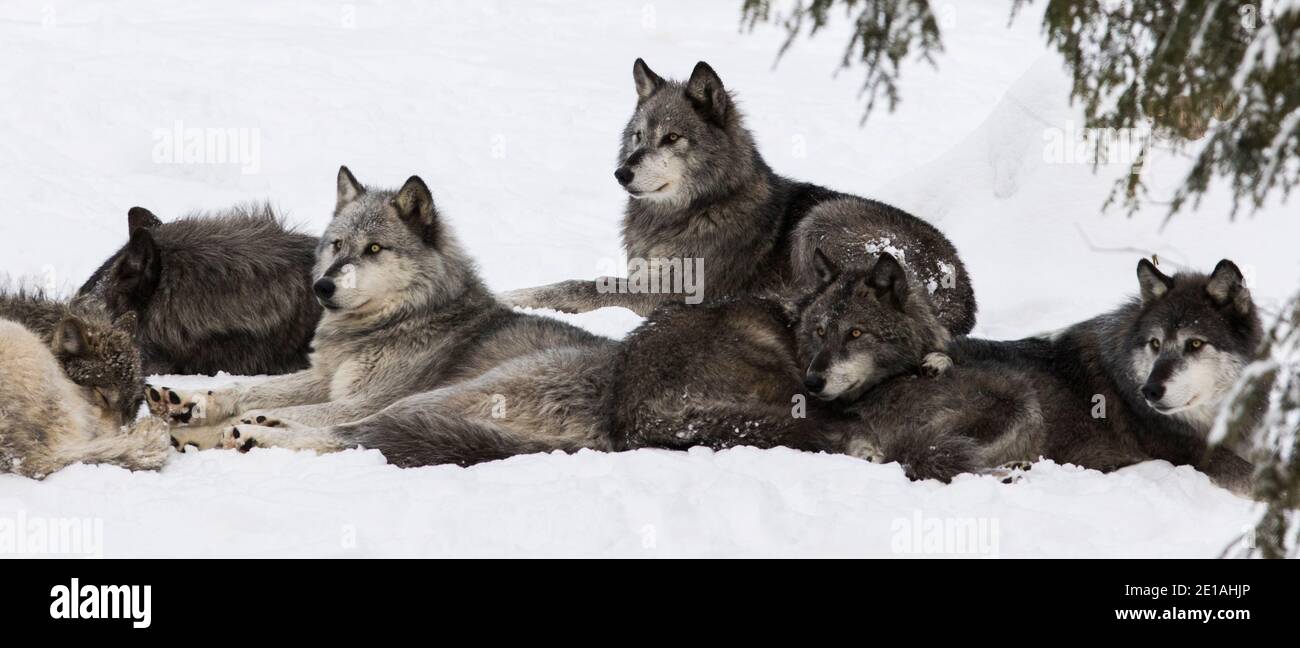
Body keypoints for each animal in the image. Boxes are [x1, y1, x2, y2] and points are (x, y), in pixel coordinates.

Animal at [150, 167, 613, 450]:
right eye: (337, 245)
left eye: (374, 249)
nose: (322, 286)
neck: (402, 318)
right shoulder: (326, 379)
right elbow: (246, 388)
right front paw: (190, 401)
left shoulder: (361, 399)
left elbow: (276, 407)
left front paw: (208, 422)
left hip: (432, 399)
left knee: (352, 435)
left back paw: (256, 436)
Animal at [500, 59, 977, 335]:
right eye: (638, 136)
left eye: (672, 138)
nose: (622, 173)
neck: (699, 208)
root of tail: (964, 300)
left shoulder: (672, 289)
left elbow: (584, 285)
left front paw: (513, 296)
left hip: (821, 219)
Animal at [799, 256, 1261, 493]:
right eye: (1155, 344)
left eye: (1194, 344)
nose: (1151, 391)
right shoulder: (1195, 456)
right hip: (1016, 397)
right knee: (926, 463)